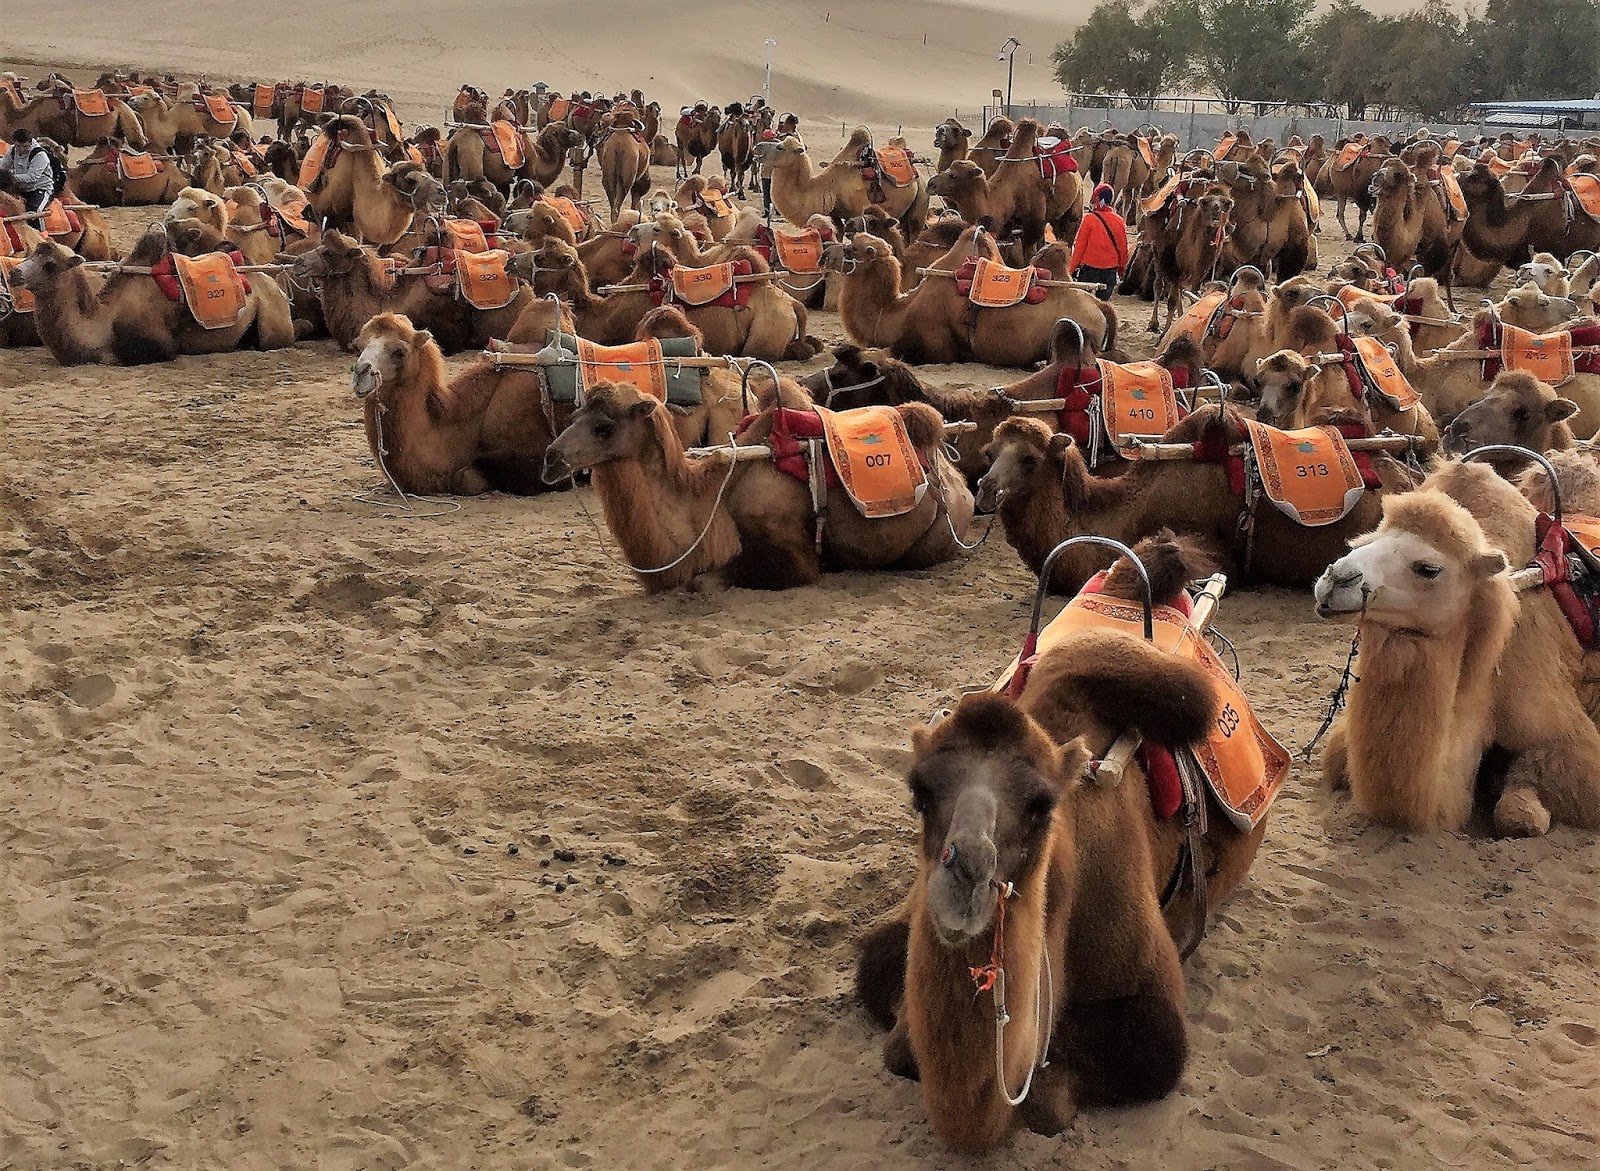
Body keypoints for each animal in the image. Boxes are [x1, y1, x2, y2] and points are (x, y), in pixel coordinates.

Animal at [12, 235, 293, 365]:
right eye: (29, 254)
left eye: (50, 265)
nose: (14, 273)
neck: (100, 324)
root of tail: (277, 287)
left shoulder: (160, 346)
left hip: (274, 325)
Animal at [539, 383, 975, 591]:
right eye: (574, 415)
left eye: (603, 427)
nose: (550, 458)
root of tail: (958, 480)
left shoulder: (792, 557)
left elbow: (702, 581)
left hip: (938, 535)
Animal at [829, 229, 1116, 368]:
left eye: (851, 249)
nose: (827, 254)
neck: (896, 313)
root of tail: (1100, 306)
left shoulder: (937, 348)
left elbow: (887, 352)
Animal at [1314, 460, 1600, 835]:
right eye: (1363, 542)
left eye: (1428, 569)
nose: (1334, 581)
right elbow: (1337, 760)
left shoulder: (1568, 736)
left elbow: (1519, 814)